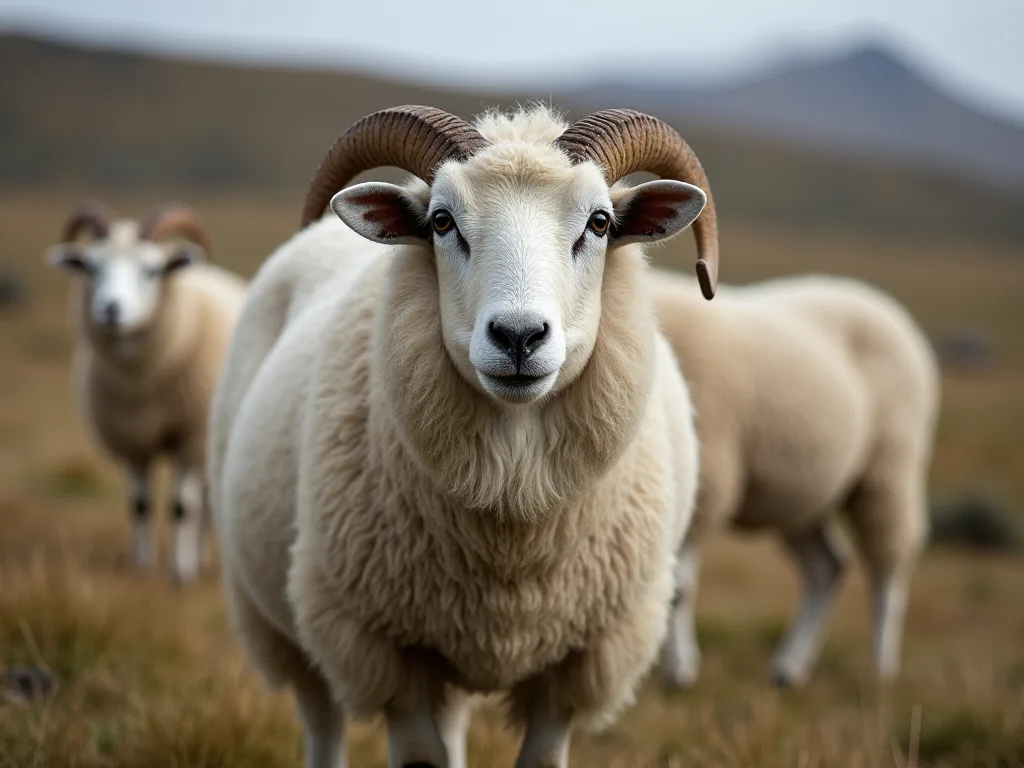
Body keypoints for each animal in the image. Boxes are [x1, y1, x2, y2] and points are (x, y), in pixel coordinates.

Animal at [45, 200, 248, 585]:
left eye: (151, 270)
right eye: (92, 267)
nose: (111, 309)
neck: (141, 384)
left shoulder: (189, 439)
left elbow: (182, 508)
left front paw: (181, 572)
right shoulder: (132, 441)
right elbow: (139, 506)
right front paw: (141, 568)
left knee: (206, 502)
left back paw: (199, 557)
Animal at [207, 104, 720, 768]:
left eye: (600, 222)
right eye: (441, 221)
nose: (519, 336)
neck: (512, 509)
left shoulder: (578, 666)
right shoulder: (386, 652)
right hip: (285, 618)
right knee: (322, 723)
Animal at [647, 269, 940, 689]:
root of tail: (880, 301)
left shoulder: (707, 482)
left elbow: (679, 589)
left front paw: (680, 670)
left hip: (888, 471)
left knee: (887, 569)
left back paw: (880, 669)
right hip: (804, 498)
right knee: (827, 567)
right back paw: (789, 667)